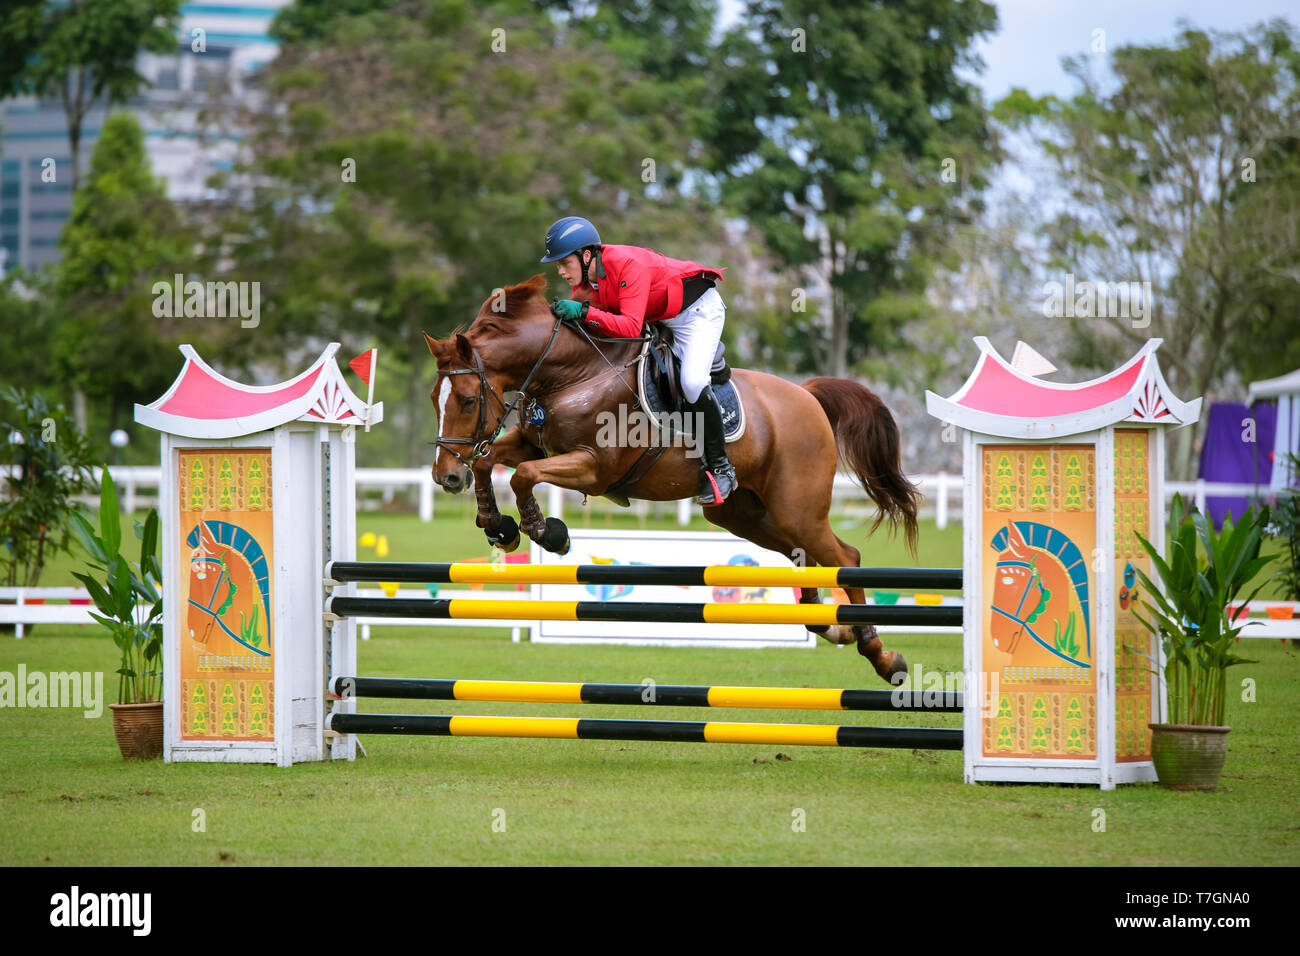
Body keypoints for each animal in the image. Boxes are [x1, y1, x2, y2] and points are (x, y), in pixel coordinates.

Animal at [424, 274, 921, 684]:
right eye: (435, 397)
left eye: (467, 400)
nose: (445, 477)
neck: (572, 372)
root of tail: (808, 395)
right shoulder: (532, 442)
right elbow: (489, 463)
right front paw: (499, 527)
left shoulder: (594, 467)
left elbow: (523, 476)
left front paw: (549, 533)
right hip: (743, 514)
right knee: (804, 556)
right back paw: (829, 625)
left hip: (797, 508)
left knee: (845, 557)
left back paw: (880, 654)